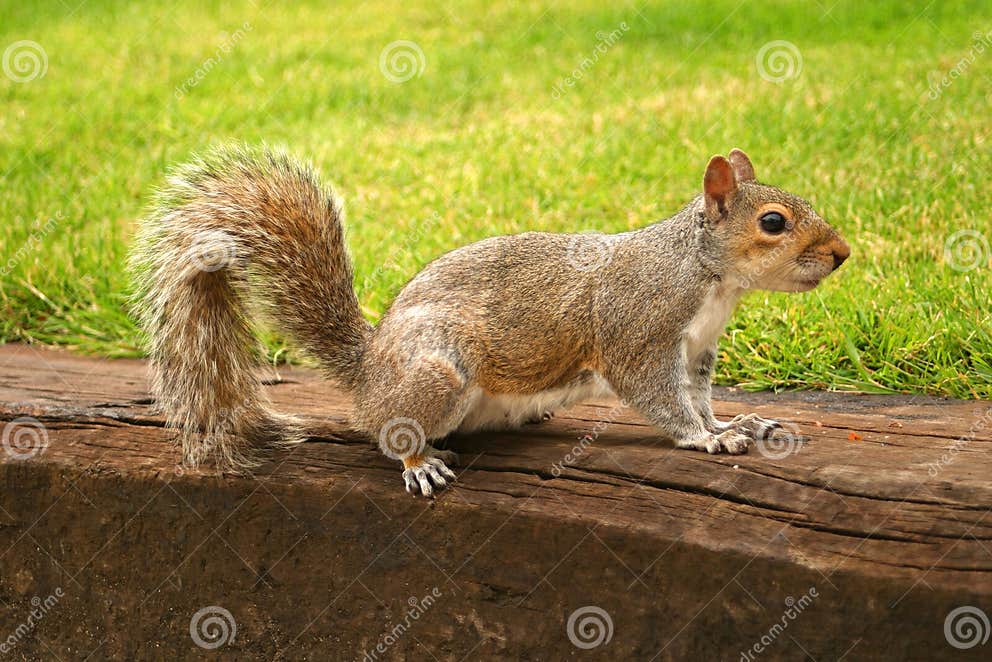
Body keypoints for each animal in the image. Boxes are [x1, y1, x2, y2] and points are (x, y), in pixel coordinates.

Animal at [130, 145, 850, 497]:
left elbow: (699, 397)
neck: (705, 276)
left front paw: (730, 425)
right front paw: (704, 441)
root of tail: (368, 372)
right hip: (436, 375)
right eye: (774, 222)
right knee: (387, 432)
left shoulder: (697, 352)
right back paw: (419, 460)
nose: (843, 253)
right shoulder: (638, 331)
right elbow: (660, 398)